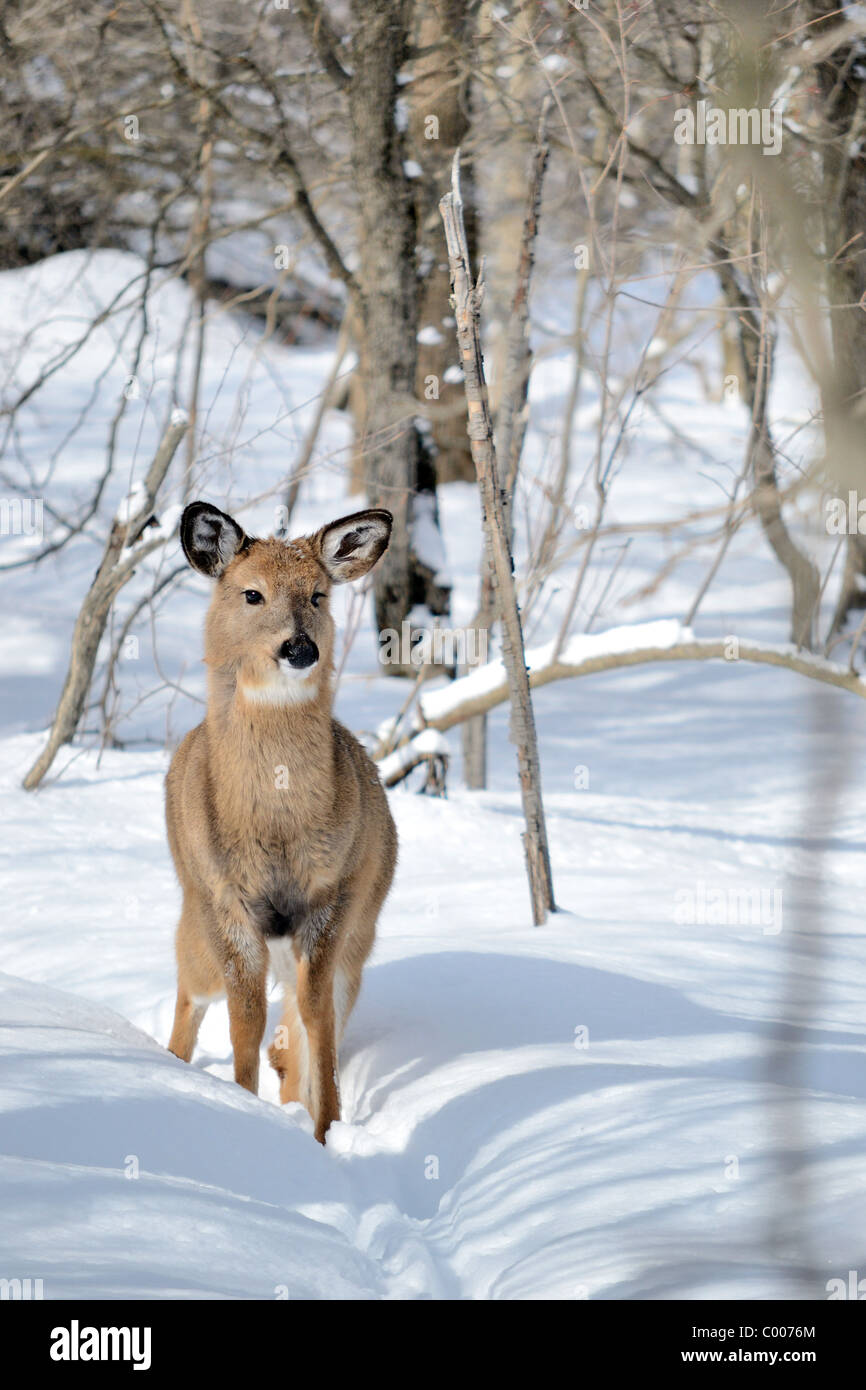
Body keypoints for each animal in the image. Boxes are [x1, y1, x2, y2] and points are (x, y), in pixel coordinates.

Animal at [165, 500, 398, 1143]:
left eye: (318, 594)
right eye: (252, 594)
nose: (300, 649)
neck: (274, 826)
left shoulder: (331, 896)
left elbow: (317, 1019)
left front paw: (327, 1130)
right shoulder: (227, 899)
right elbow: (246, 1018)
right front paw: (244, 1109)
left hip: (361, 935)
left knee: (305, 1021)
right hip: (195, 910)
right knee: (189, 988)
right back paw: (169, 1066)